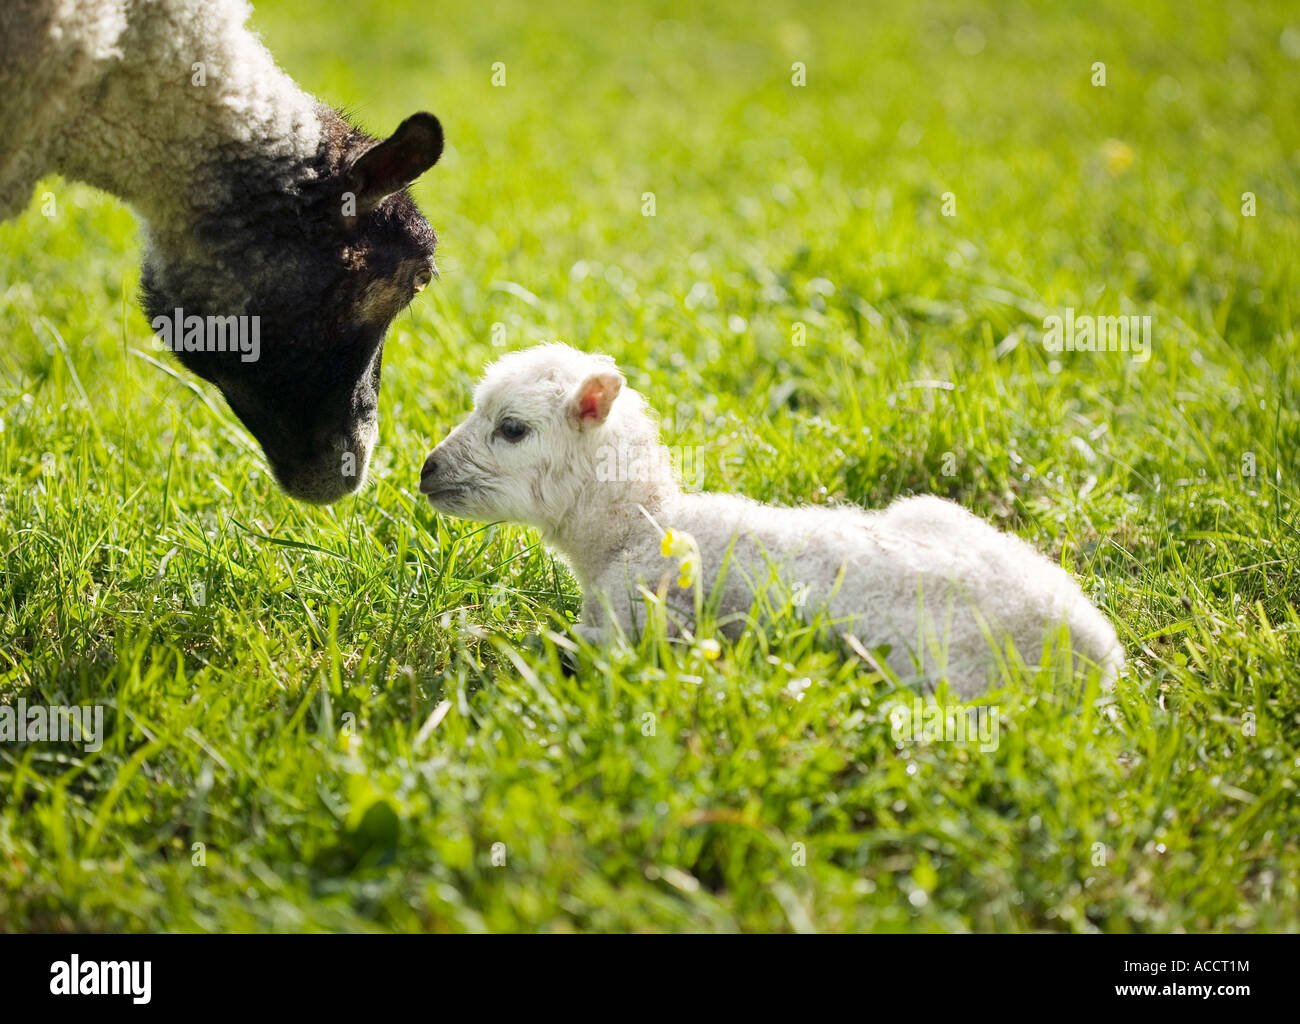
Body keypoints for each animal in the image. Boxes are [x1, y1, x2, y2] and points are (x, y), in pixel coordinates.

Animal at [418, 344, 1126, 698]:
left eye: (512, 429)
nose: (426, 470)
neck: (632, 528)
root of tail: (1099, 649)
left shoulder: (643, 622)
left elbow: (559, 642)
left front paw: (482, 638)